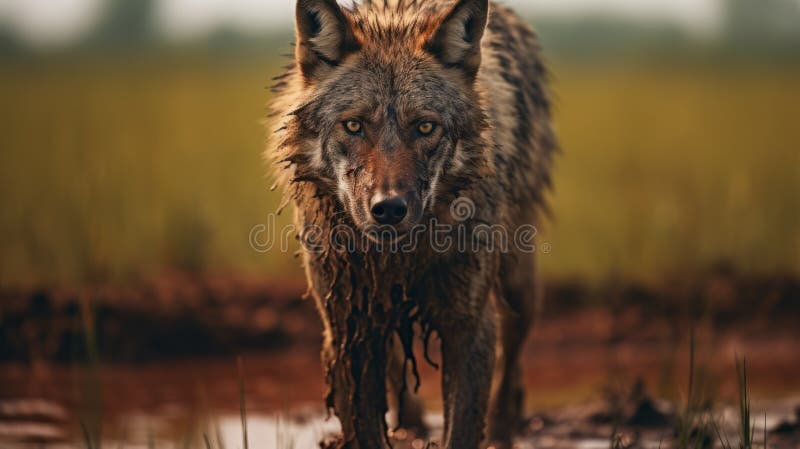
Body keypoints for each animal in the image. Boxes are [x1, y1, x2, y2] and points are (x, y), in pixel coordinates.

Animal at [266, 0, 556, 447]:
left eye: (425, 126)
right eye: (353, 125)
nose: (388, 209)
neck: (399, 259)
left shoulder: (469, 326)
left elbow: (463, 427)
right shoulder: (347, 328)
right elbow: (365, 425)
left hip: (518, 286)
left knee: (512, 361)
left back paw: (503, 429)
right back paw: (410, 423)